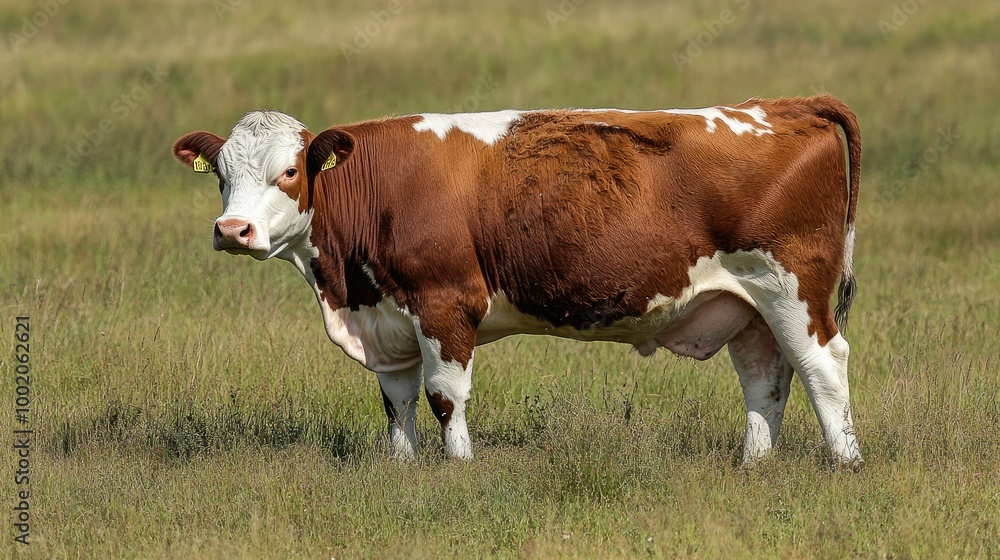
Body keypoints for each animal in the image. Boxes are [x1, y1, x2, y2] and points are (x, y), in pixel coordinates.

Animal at [173, 95, 863, 469]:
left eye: (289, 171)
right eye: (222, 174)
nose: (232, 230)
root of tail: (780, 106)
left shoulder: (445, 302)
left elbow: (444, 396)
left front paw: (457, 467)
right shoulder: (388, 317)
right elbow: (397, 399)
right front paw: (402, 466)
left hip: (793, 287)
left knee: (823, 366)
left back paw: (846, 463)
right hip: (747, 304)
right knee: (766, 379)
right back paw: (753, 465)